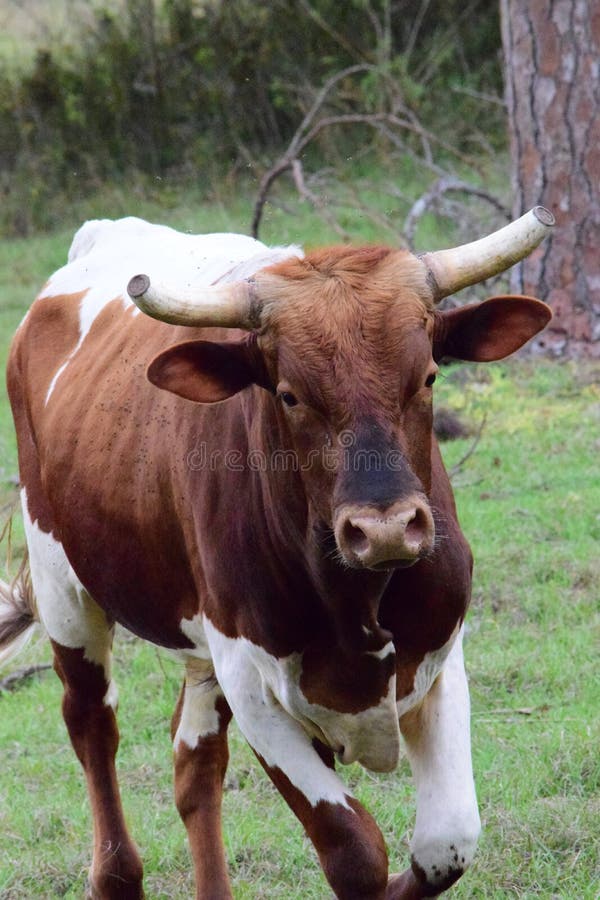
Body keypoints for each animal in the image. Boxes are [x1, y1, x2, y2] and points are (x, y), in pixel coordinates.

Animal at [1, 207, 554, 899]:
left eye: (428, 376)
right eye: (289, 395)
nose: (387, 530)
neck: (357, 600)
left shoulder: (441, 658)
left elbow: (445, 844)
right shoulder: (254, 684)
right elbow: (355, 851)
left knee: (195, 763)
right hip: (64, 589)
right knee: (92, 723)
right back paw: (116, 867)